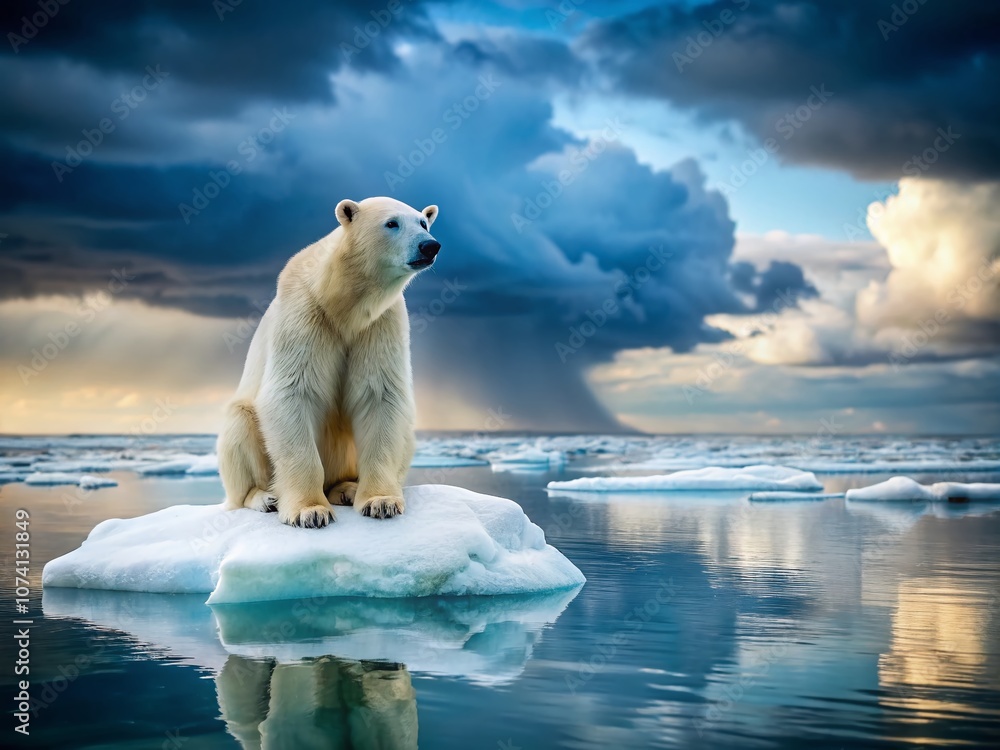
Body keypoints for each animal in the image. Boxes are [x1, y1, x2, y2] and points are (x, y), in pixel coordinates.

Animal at [217, 196, 440, 528]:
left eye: (423, 223)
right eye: (392, 223)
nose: (430, 246)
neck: (342, 303)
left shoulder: (380, 323)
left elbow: (380, 396)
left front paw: (380, 502)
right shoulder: (305, 314)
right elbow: (291, 392)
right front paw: (309, 511)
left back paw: (346, 488)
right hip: (243, 426)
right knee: (239, 425)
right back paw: (265, 497)